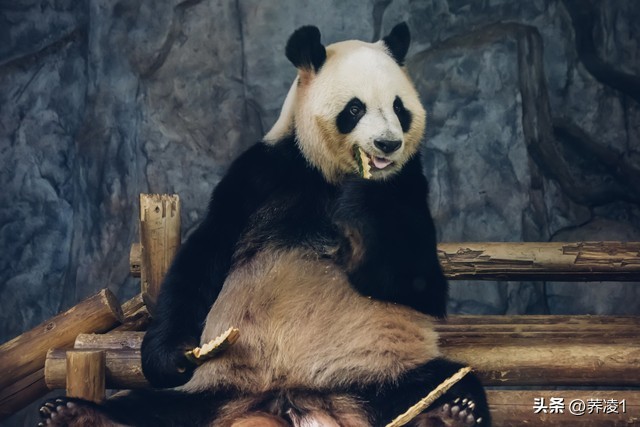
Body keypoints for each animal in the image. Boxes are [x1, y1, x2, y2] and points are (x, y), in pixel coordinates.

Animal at [39, 23, 490, 427]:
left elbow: (422, 286)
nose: (387, 144)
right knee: (152, 409)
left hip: (378, 370)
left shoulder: (408, 185)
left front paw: (361, 206)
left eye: (399, 107)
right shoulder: (263, 173)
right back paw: (78, 415)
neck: (327, 175)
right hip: (215, 386)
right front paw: (170, 358)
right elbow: (203, 256)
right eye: (355, 108)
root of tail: (290, 399)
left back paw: (450, 414)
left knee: (447, 381)